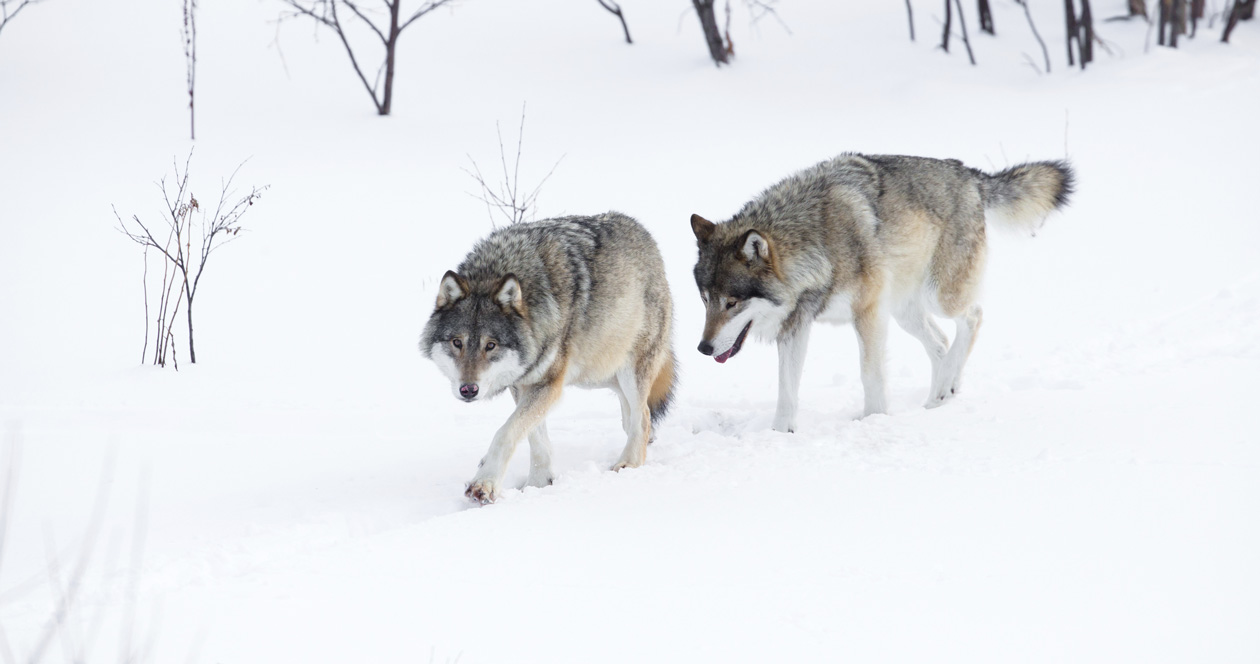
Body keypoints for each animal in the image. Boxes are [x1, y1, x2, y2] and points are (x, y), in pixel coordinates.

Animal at [422, 212, 677, 504]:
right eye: (457, 343)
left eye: (490, 345)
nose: (468, 390)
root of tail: (643, 232)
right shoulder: (523, 383)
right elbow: (535, 436)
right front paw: (539, 483)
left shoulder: (548, 384)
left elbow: (506, 432)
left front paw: (485, 484)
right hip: (598, 374)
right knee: (632, 417)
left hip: (627, 371)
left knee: (642, 415)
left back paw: (629, 463)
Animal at [690, 153, 1073, 431]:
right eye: (706, 300)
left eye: (732, 302)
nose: (703, 348)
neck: (819, 242)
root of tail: (970, 175)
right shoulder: (796, 325)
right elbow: (787, 388)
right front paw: (781, 433)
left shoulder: (869, 311)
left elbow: (870, 374)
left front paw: (874, 419)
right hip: (904, 312)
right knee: (941, 342)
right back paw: (938, 397)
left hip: (939, 297)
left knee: (973, 317)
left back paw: (946, 387)